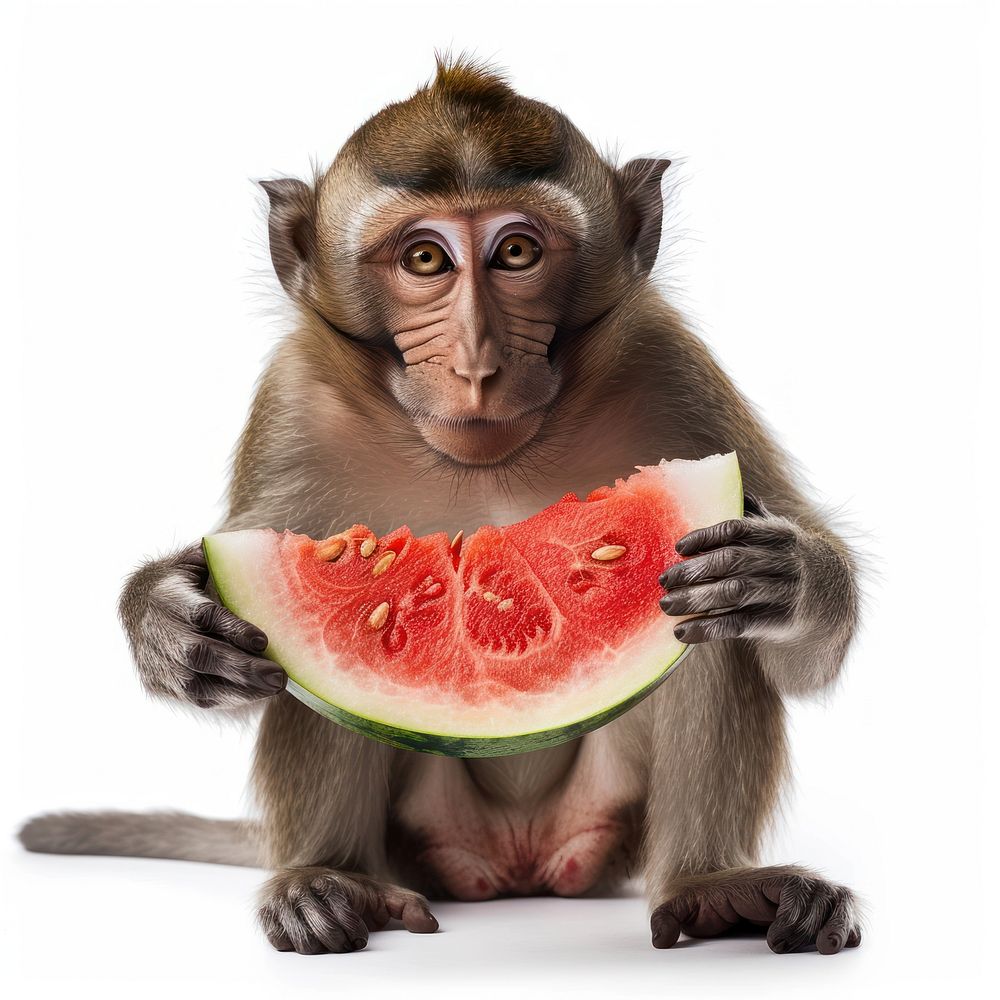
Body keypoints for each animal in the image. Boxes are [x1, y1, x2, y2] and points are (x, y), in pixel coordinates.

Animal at [19, 57, 863, 957]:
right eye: (425, 259)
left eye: (518, 251)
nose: (476, 362)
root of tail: (520, 864)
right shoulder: (294, 401)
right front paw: (166, 617)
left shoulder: (673, 367)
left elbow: (797, 652)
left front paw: (790, 579)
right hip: (421, 833)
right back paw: (324, 881)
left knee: (713, 637)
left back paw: (710, 886)